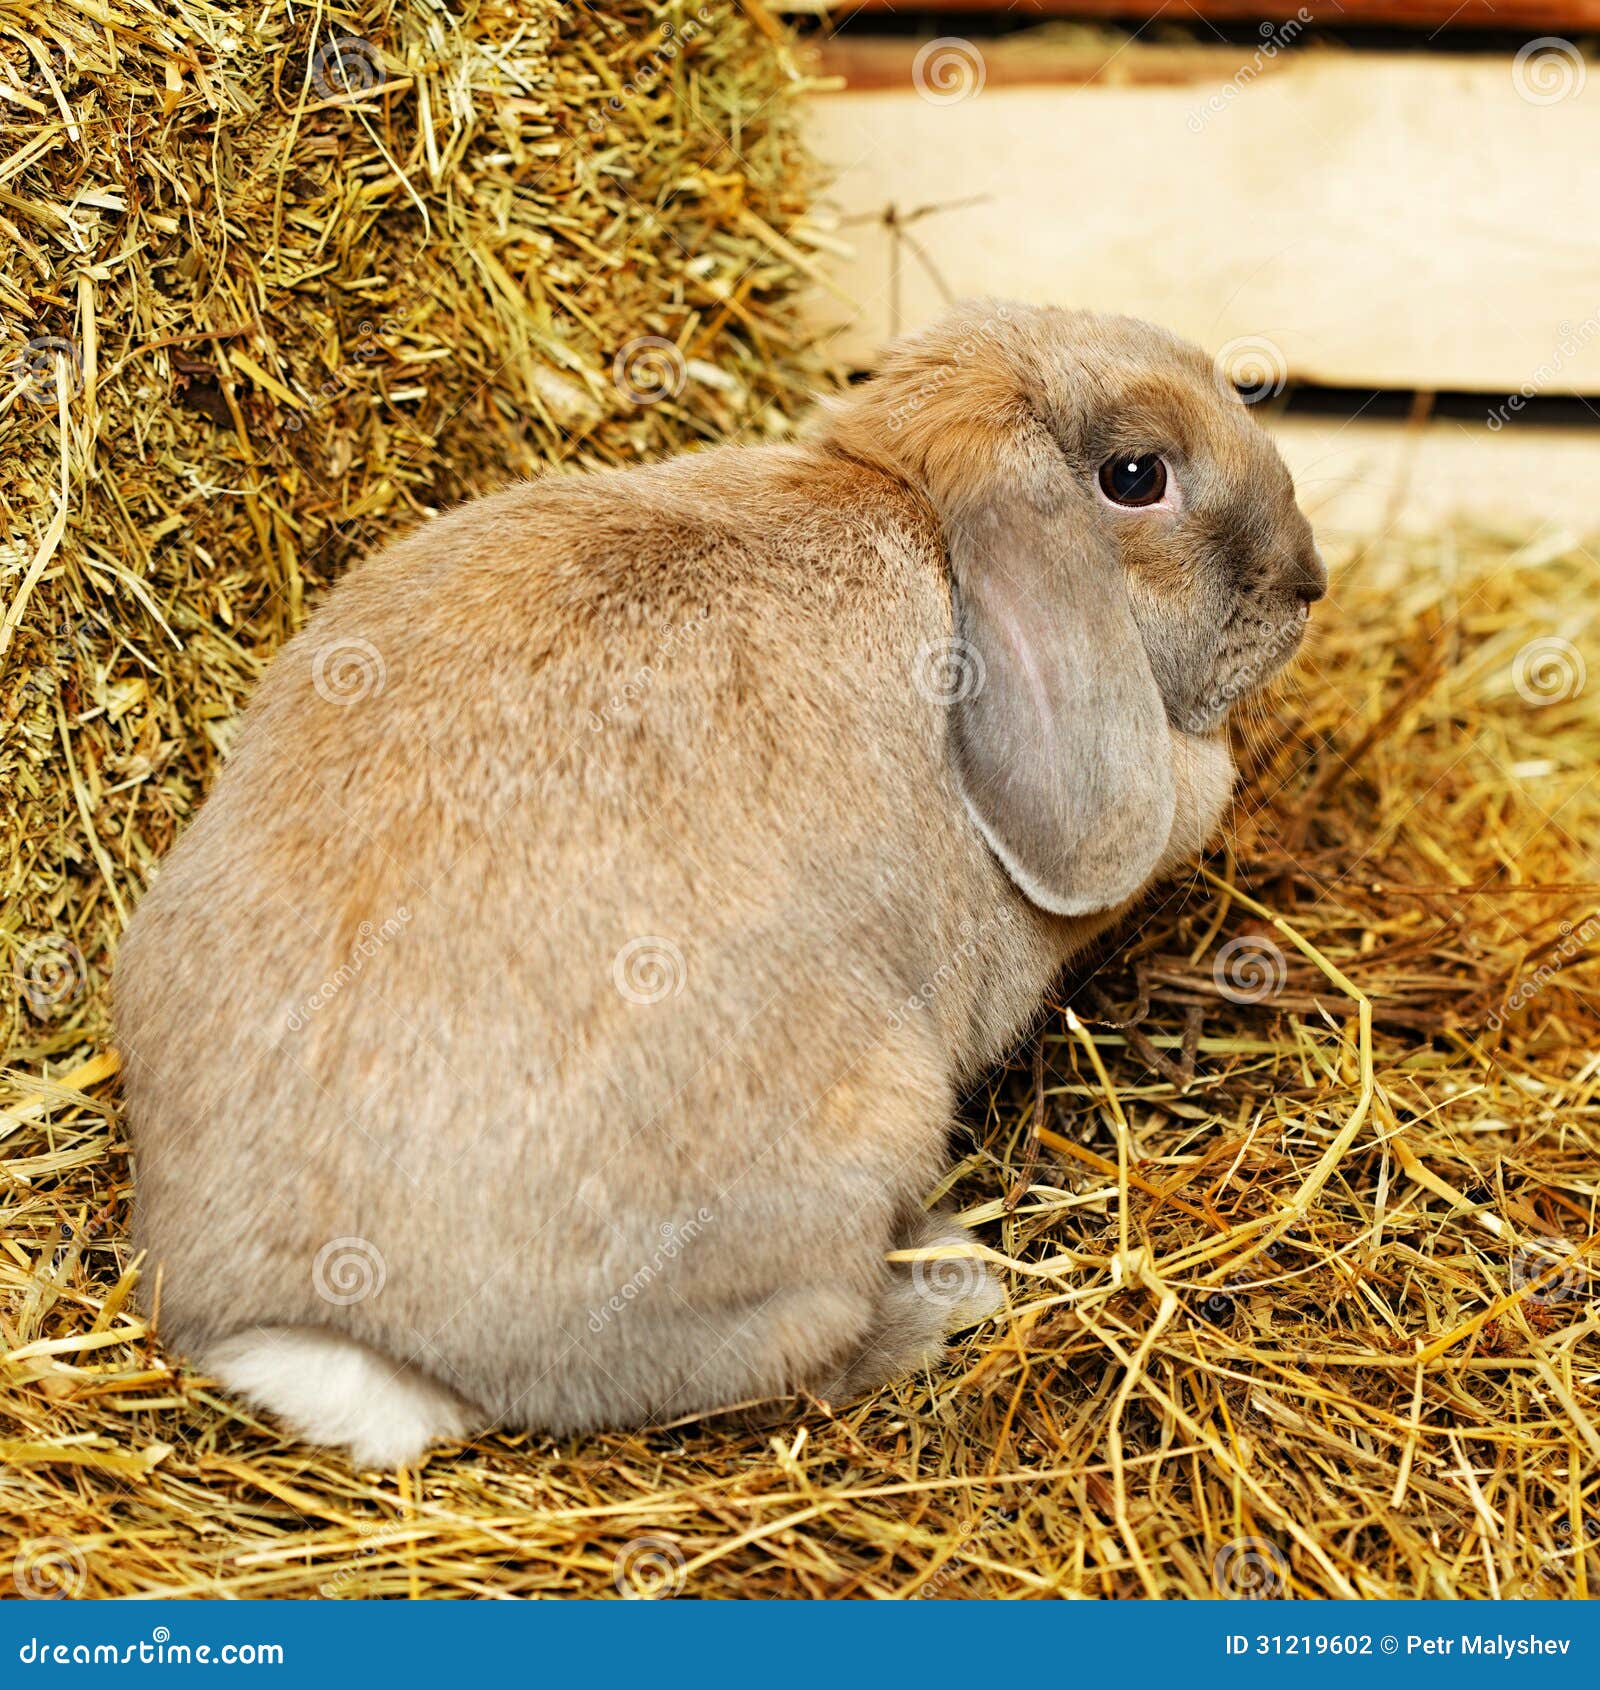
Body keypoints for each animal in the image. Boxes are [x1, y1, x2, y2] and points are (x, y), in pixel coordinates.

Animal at [115, 300, 1325, 1469]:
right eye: (1136, 476)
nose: (1308, 582)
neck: (919, 517)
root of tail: (321, 1332)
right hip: (870, 1127)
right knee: (789, 1359)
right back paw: (950, 1283)